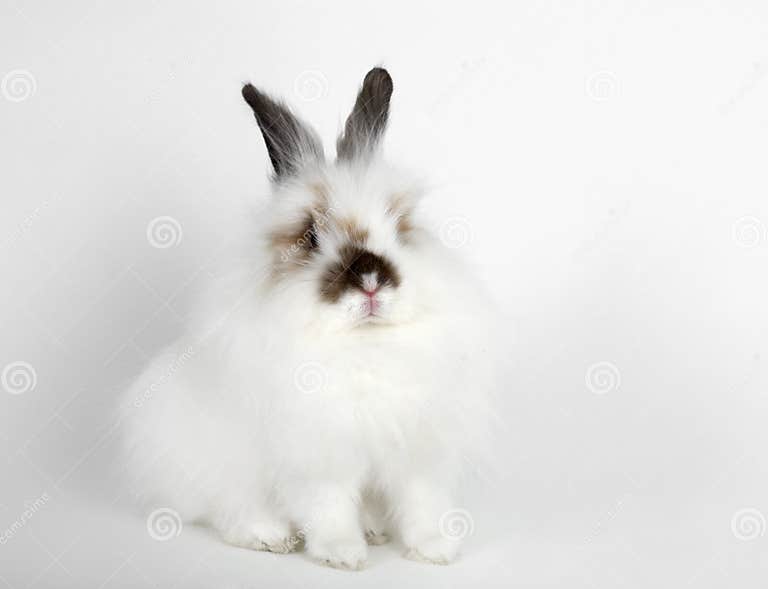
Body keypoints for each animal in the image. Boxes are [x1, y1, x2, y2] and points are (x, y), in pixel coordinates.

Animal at [120, 67, 499, 570]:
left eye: (400, 227)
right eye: (311, 235)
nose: (372, 281)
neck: (364, 344)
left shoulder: (416, 451)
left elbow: (421, 500)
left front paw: (436, 549)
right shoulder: (315, 453)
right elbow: (328, 504)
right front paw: (343, 554)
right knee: (230, 508)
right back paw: (271, 536)